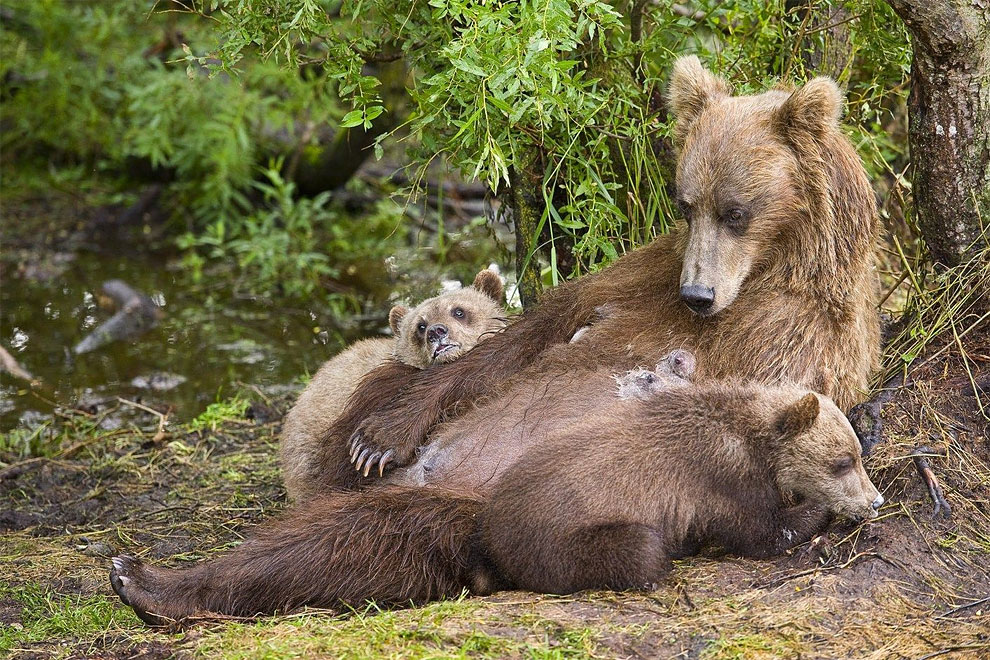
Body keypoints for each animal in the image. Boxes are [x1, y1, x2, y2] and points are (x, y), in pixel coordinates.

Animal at [109, 383, 882, 624]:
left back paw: (136, 577)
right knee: (636, 549)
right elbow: (760, 531)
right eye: (841, 460)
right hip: (568, 532)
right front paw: (815, 516)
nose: (873, 498)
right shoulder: (714, 478)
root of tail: (487, 527)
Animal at [328, 55, 880, 490]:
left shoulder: (785, 336)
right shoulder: (644, 272)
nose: (696, 295)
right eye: (687, 205)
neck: (770, 266)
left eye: (736, 212)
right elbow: (527, 336)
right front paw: (377, 438)